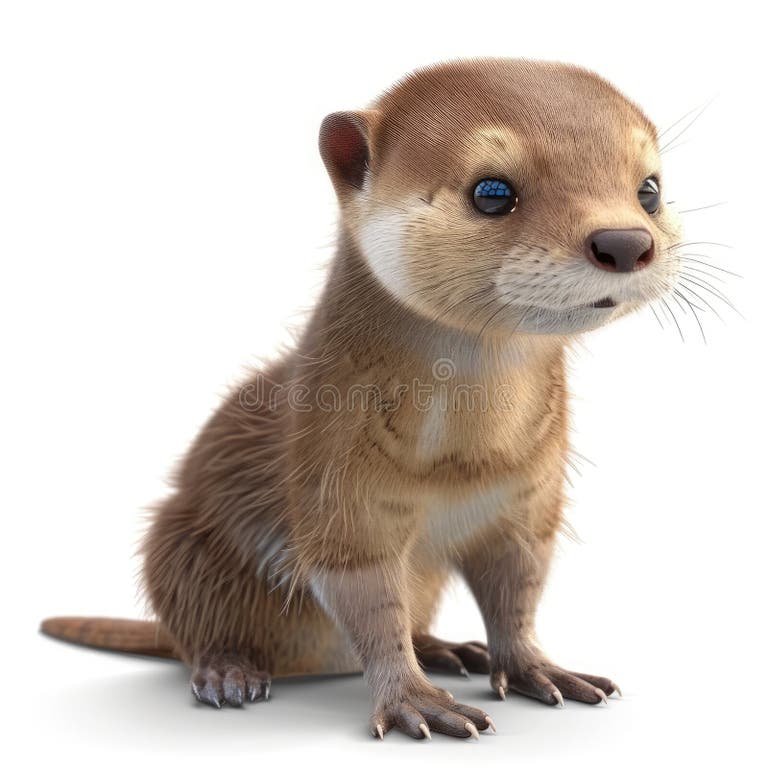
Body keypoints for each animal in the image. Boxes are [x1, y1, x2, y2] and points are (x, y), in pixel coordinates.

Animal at [42, 57, 682, 740]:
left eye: (649, 189)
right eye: (492, 191)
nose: (625, 241)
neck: (462, 461)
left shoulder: (530, 496)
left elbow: (518, 587)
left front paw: (537, 667)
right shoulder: (333, 477)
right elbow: (366, 597)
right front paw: (413, 699)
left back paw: (448, 648)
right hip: (181, 544)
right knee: (200, 624)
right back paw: (228, 673)